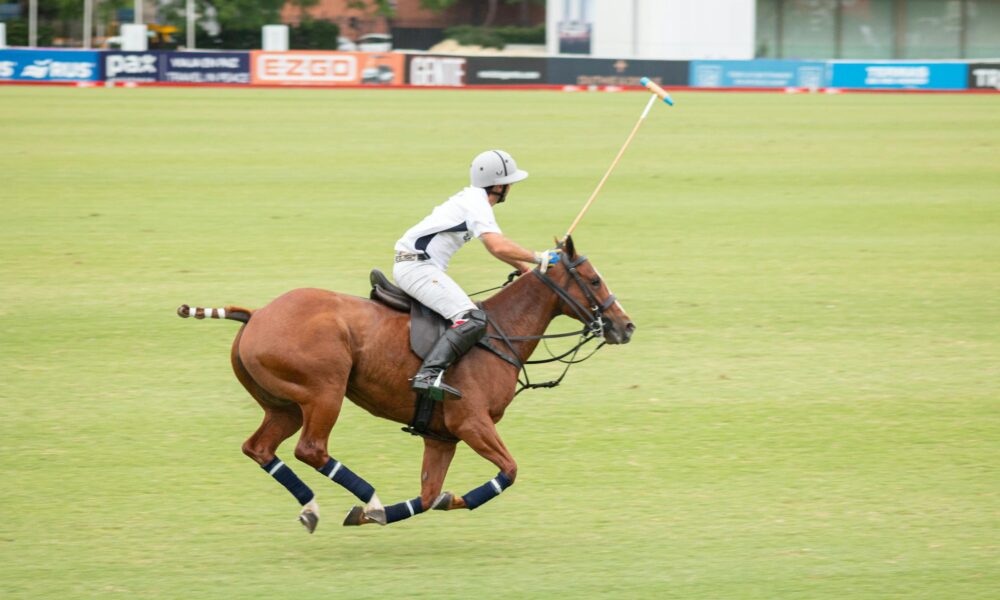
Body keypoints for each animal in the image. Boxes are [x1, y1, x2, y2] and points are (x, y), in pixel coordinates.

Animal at [179, 237, 632, 532]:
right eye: (593, 280)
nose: (625, 326)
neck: (500, 333)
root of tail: (256, 314)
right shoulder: (472, 423)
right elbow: (509, 470)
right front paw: (377, 511)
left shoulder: (442, 436)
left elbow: (431, 495)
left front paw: (390, 511)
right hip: (324, 392)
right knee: (311, 449)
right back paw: (371, 500)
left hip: (283, 405)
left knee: (258, 448)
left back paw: (315, 508)